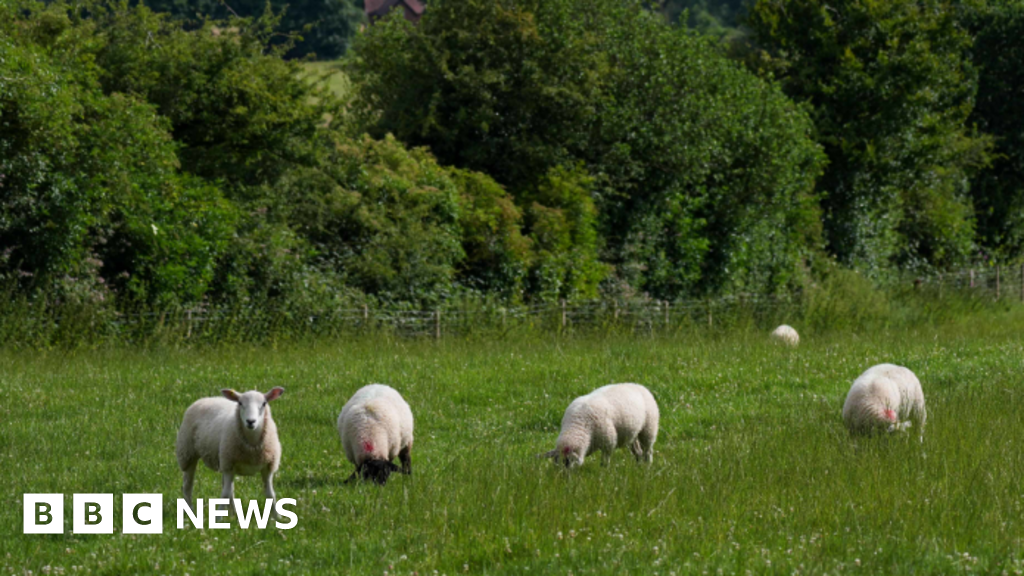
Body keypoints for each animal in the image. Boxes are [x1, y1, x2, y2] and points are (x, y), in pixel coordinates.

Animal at [175, 387, 285, 519]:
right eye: (240, 403)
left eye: (264, 403)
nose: (250, 421)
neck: (252, 449)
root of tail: (207, 398)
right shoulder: (229, 465)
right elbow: (225, 495)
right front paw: (218, 519)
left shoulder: (268, 467)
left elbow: (270, 494)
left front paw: (277, 518)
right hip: (187, 453)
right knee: (188, 485)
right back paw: (190, 511)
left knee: (229, 488)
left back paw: (233, 514)